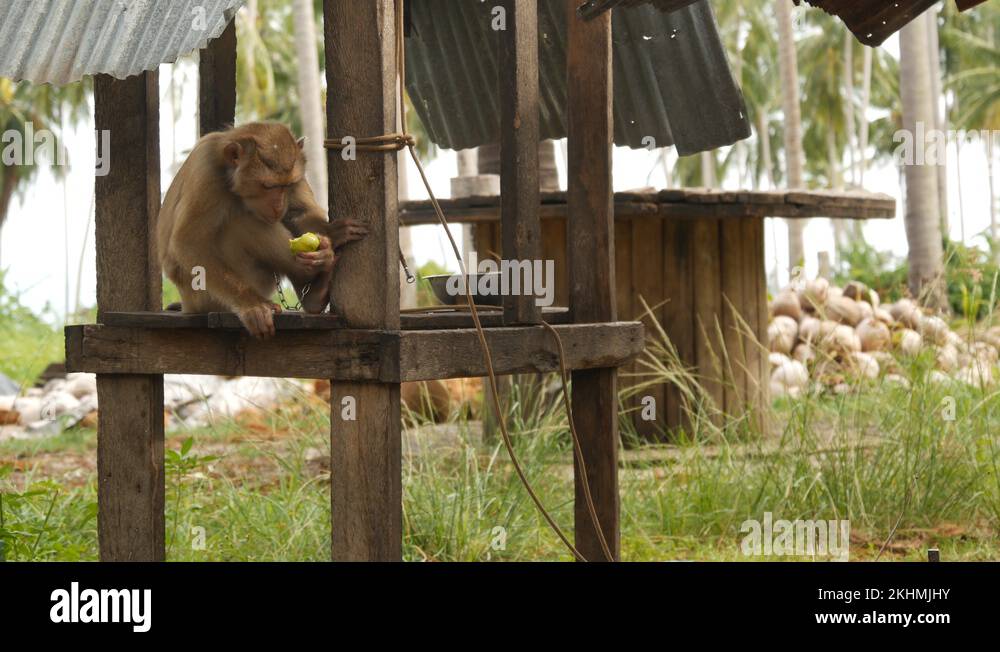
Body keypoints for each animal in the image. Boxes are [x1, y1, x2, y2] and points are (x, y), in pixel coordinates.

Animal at [156, 122, 368, 339]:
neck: (228, 176)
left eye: (287, 185)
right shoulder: (206, 171)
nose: (278, 206)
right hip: (206, 297)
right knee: (240, 224)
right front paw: (251, 305)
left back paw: (316, 283)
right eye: (268, 186)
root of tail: (187, 306)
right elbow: (188, 241)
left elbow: (298, 212)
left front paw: (331, 233)